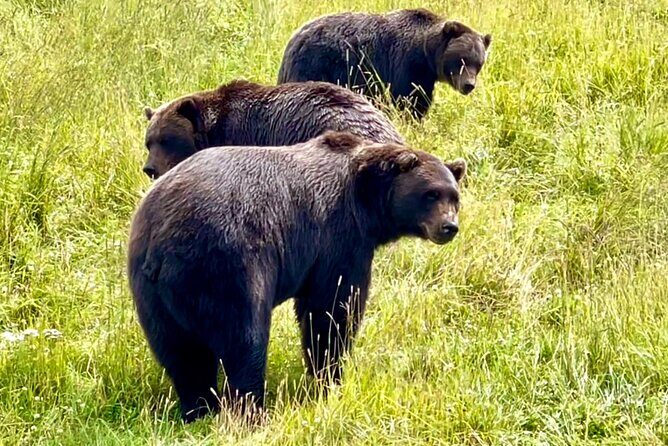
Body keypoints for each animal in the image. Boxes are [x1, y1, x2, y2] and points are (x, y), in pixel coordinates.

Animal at [127, 131, 467, 422]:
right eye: (430, 194)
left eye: (454, 196)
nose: (449, 227)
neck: (367, 202)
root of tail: (161, 241)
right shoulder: (337, 237)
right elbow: (332, 309)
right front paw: (329, 377)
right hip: (228, 263)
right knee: (243, 339)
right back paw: (251, 411)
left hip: (150, 292)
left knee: (181, 354)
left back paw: (198, 409)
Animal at [277, 8, 492, 119]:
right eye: (461, 60)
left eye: (479, 64)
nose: (468, 85)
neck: (426, 54)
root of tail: (293, 39)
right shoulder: (406, 65)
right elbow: (410, 100)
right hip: (316, 65)